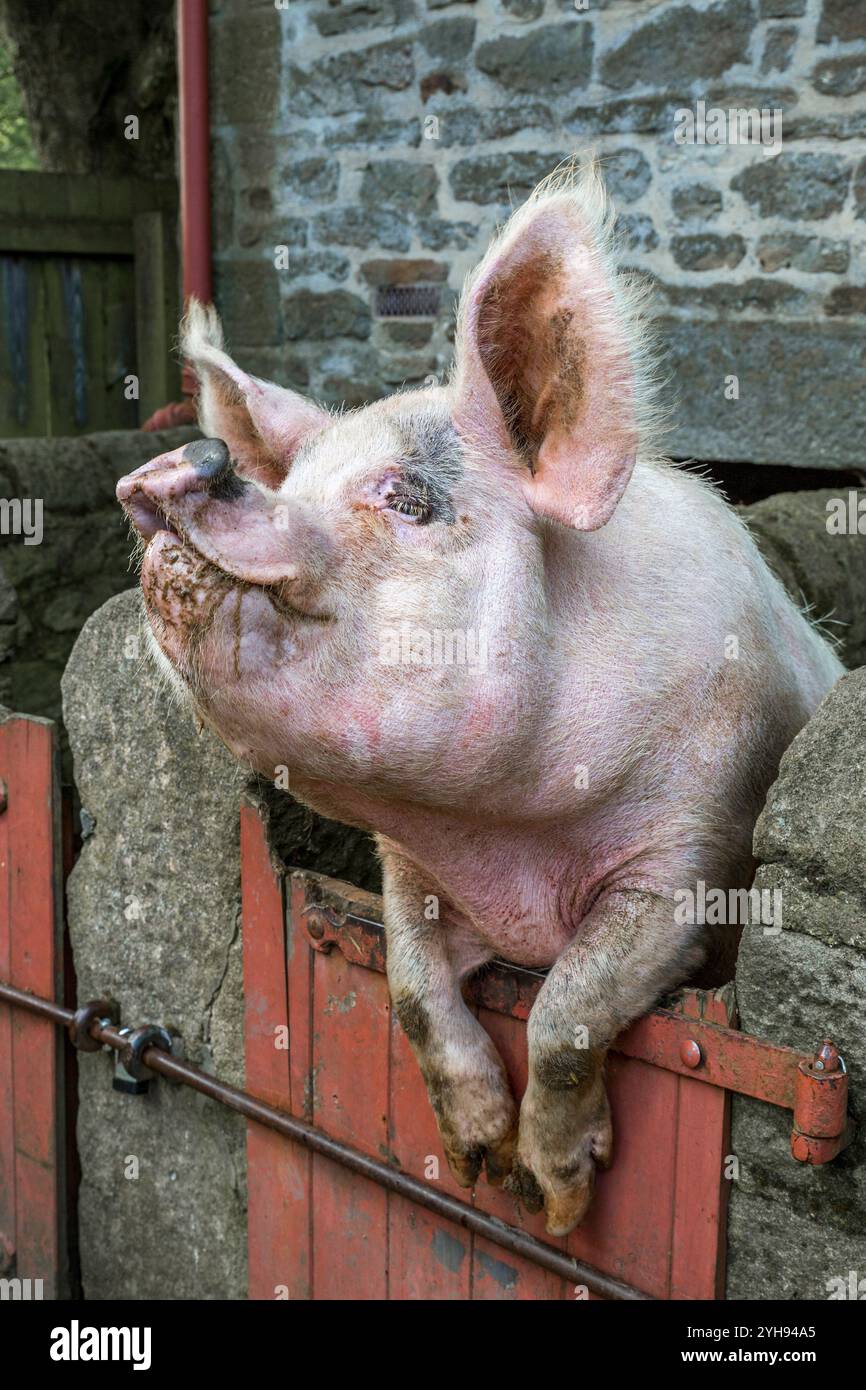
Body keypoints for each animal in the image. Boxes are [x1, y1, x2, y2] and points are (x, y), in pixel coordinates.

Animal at [117, 163, 843, 1235]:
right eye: (298, 481)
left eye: (410, 500)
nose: (193, 461)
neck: (504, 841)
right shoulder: (403, 862)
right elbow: (412, 989)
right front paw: (473, 1160)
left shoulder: (695, 851)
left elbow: (567, 1005)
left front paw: (553, 1202)